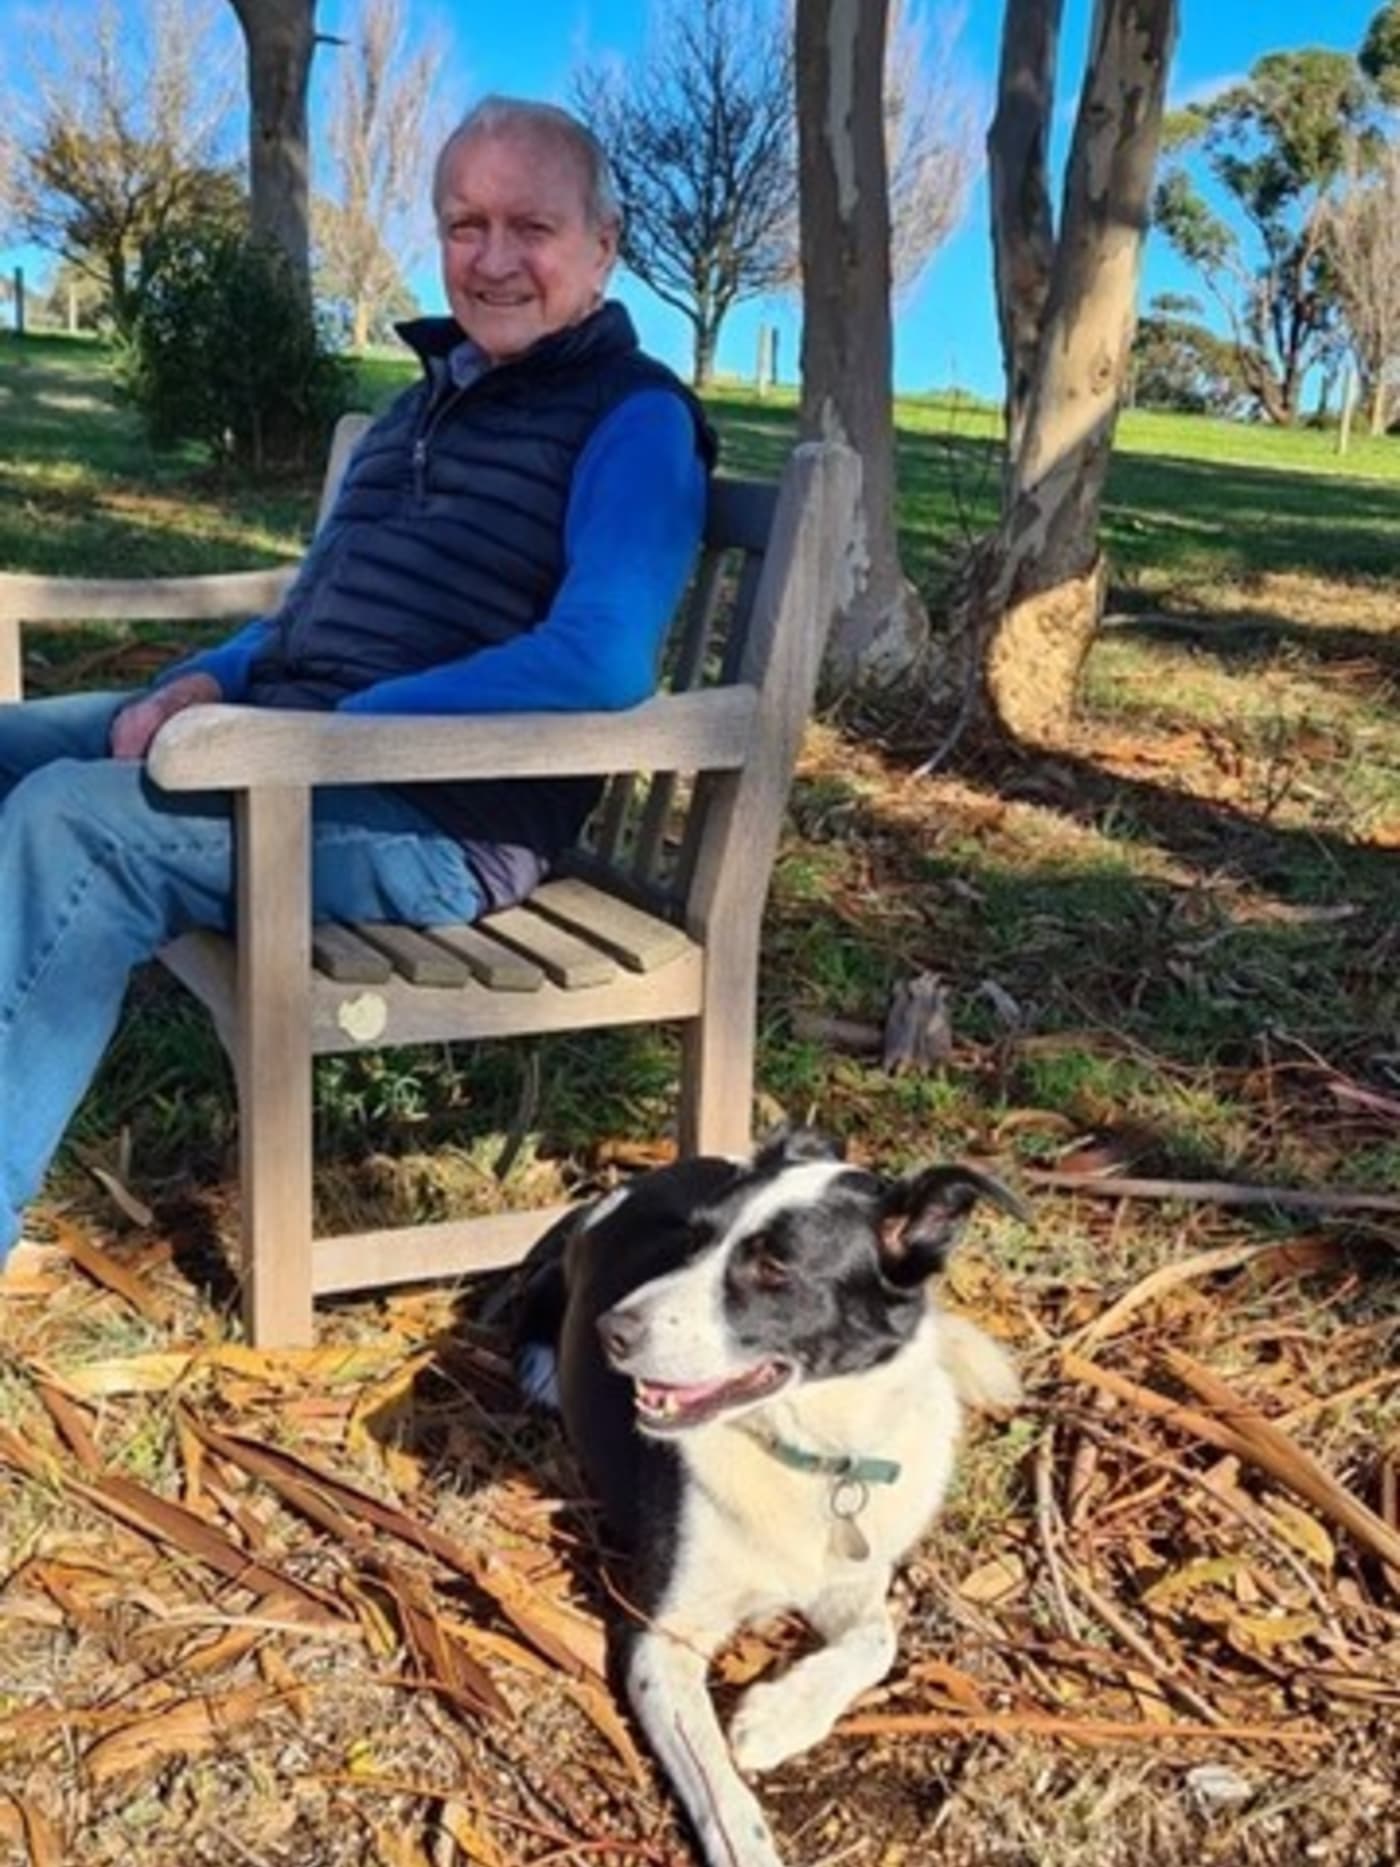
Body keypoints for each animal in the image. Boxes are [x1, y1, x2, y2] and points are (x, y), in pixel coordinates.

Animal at [511, 1120, 1022, 1867]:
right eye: (694, 1241)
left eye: (775, 1269)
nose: (609, 1330)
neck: (811, 1457)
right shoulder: (659, 1641)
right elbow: (718, 1786)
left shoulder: (853, 1586)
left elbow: (880, 1640)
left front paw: (780, 1716)